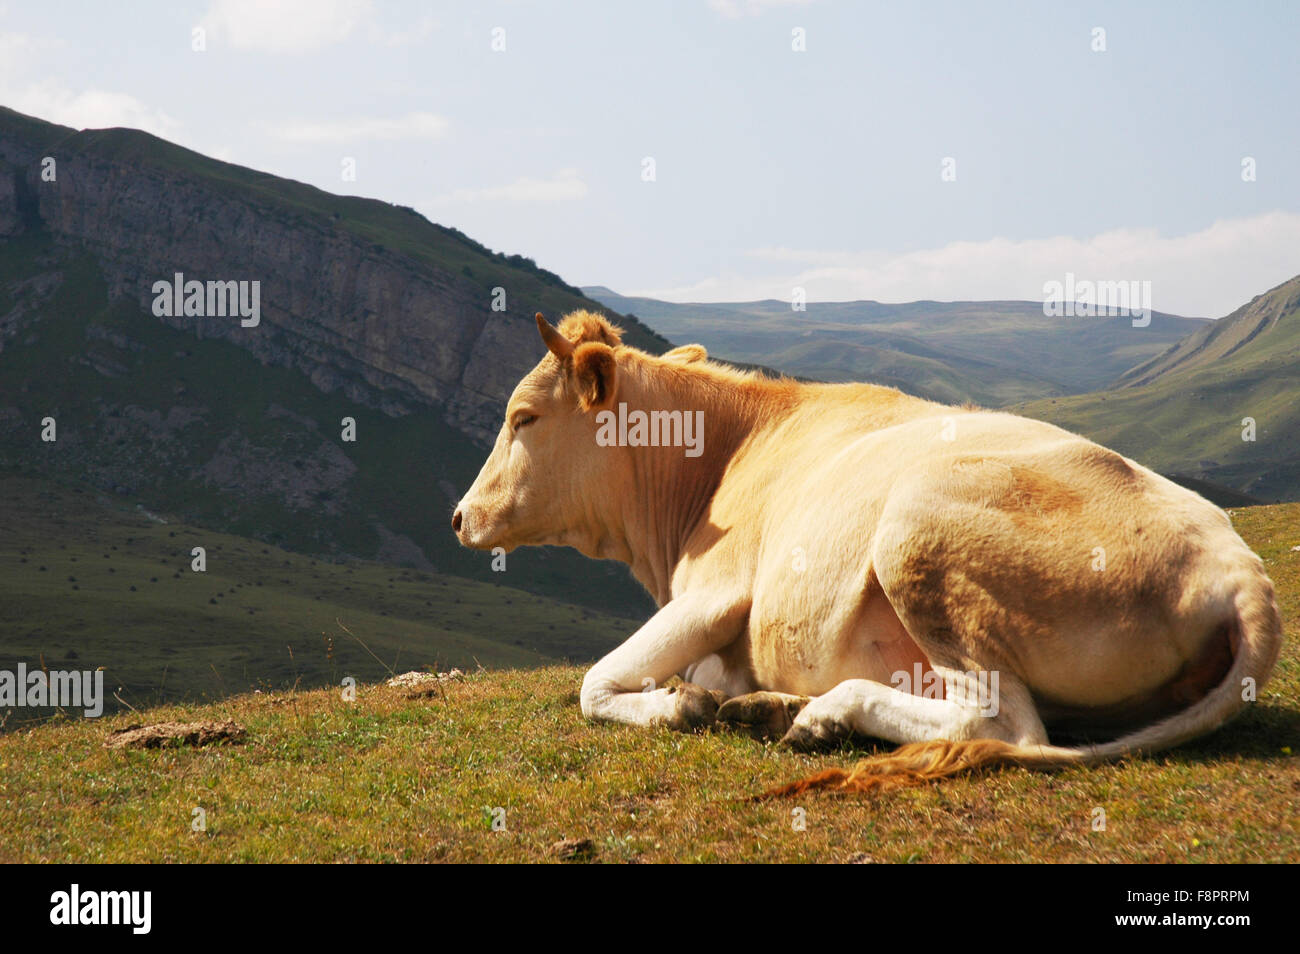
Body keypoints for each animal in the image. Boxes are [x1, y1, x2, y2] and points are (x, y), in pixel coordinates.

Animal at [452, 310, 1283, 794]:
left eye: (523, 417)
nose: (459, 516)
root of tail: (1241, 569)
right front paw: (723, 692)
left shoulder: (718, 591)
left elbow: (595, 684)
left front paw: (681, 703)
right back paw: (775, 708)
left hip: (916, 534)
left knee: (999, 725)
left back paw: (821, 713)